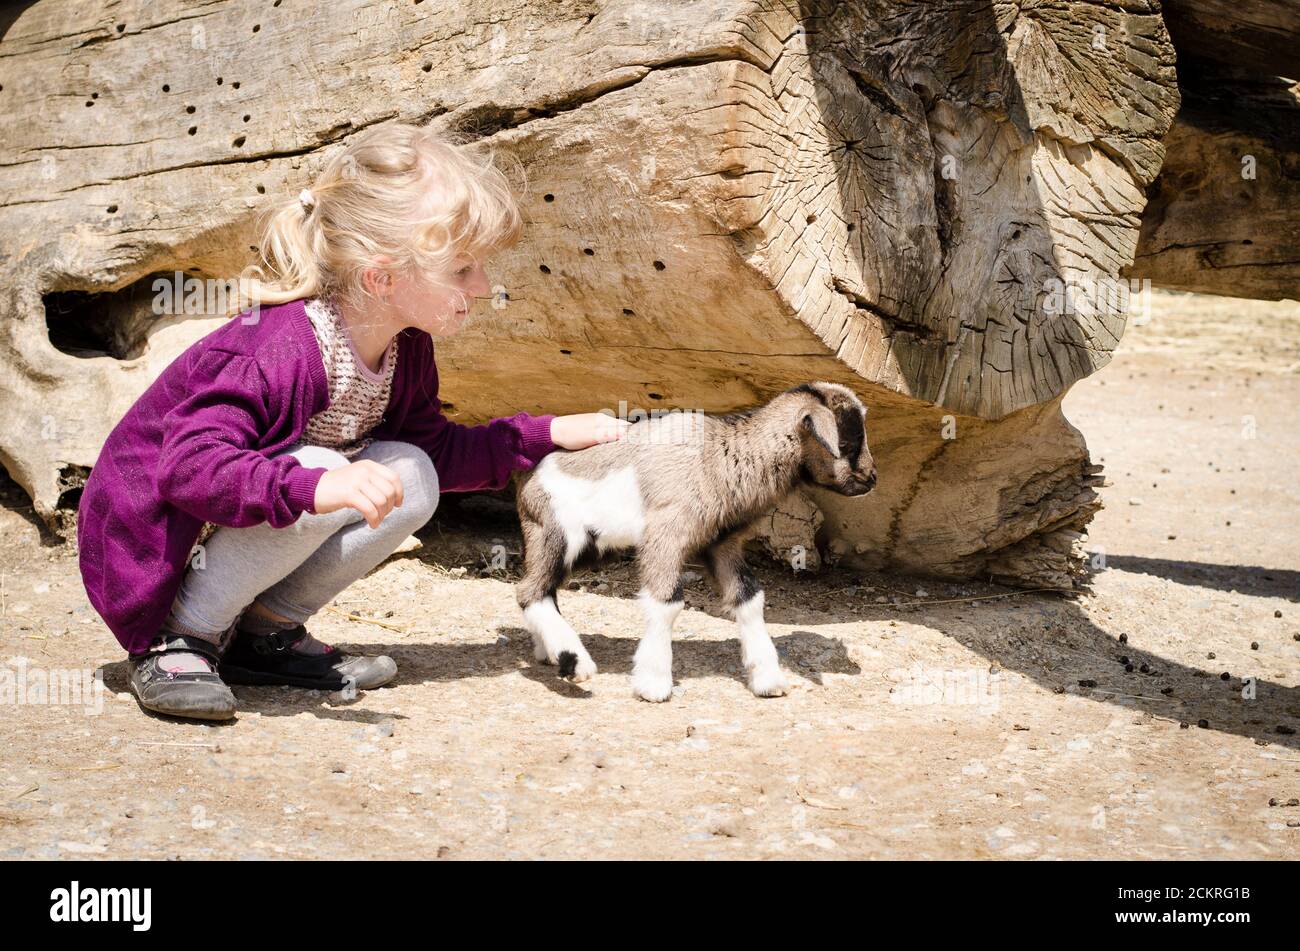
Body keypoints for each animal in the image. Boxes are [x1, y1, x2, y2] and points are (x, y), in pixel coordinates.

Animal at [512, 381, 877, 701]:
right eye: (846, 443)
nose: (872, 478)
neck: (722, 456)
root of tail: (527, 478)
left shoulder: (721, 544)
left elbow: (749, 596)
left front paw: (768, 679)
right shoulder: (665, 535)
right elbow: (668, 601)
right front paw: (653, 683)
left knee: (544, 588)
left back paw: (548, 652)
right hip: (555, 533)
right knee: (529, 591)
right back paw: (575, 662)